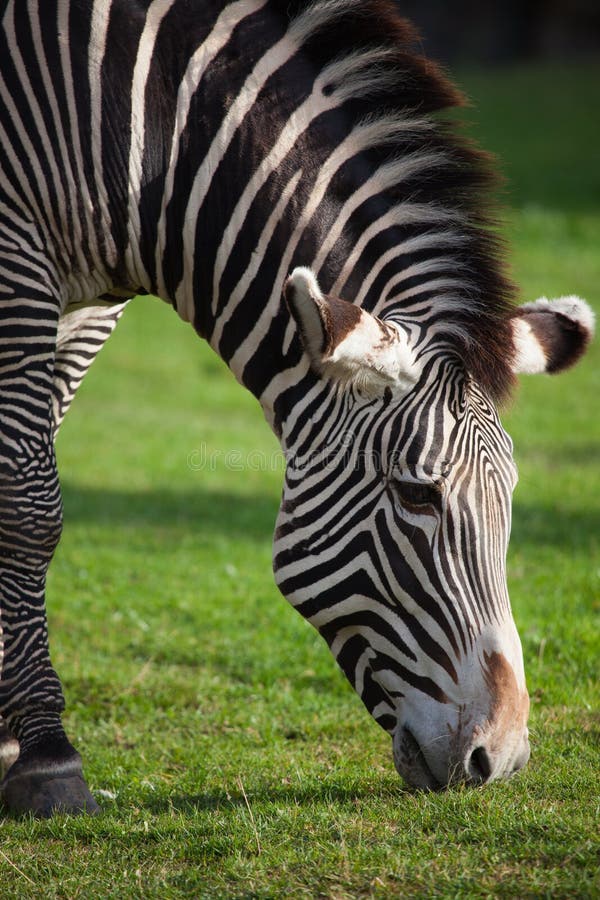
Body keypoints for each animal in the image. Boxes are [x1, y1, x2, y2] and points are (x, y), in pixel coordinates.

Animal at [0, 0, 593, 817]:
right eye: (418, 495)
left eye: (511, 495)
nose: (499, 759)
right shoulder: (16, 258)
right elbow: (29, 509)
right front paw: (44, 756)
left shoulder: (91, 304)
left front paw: (7, 737)